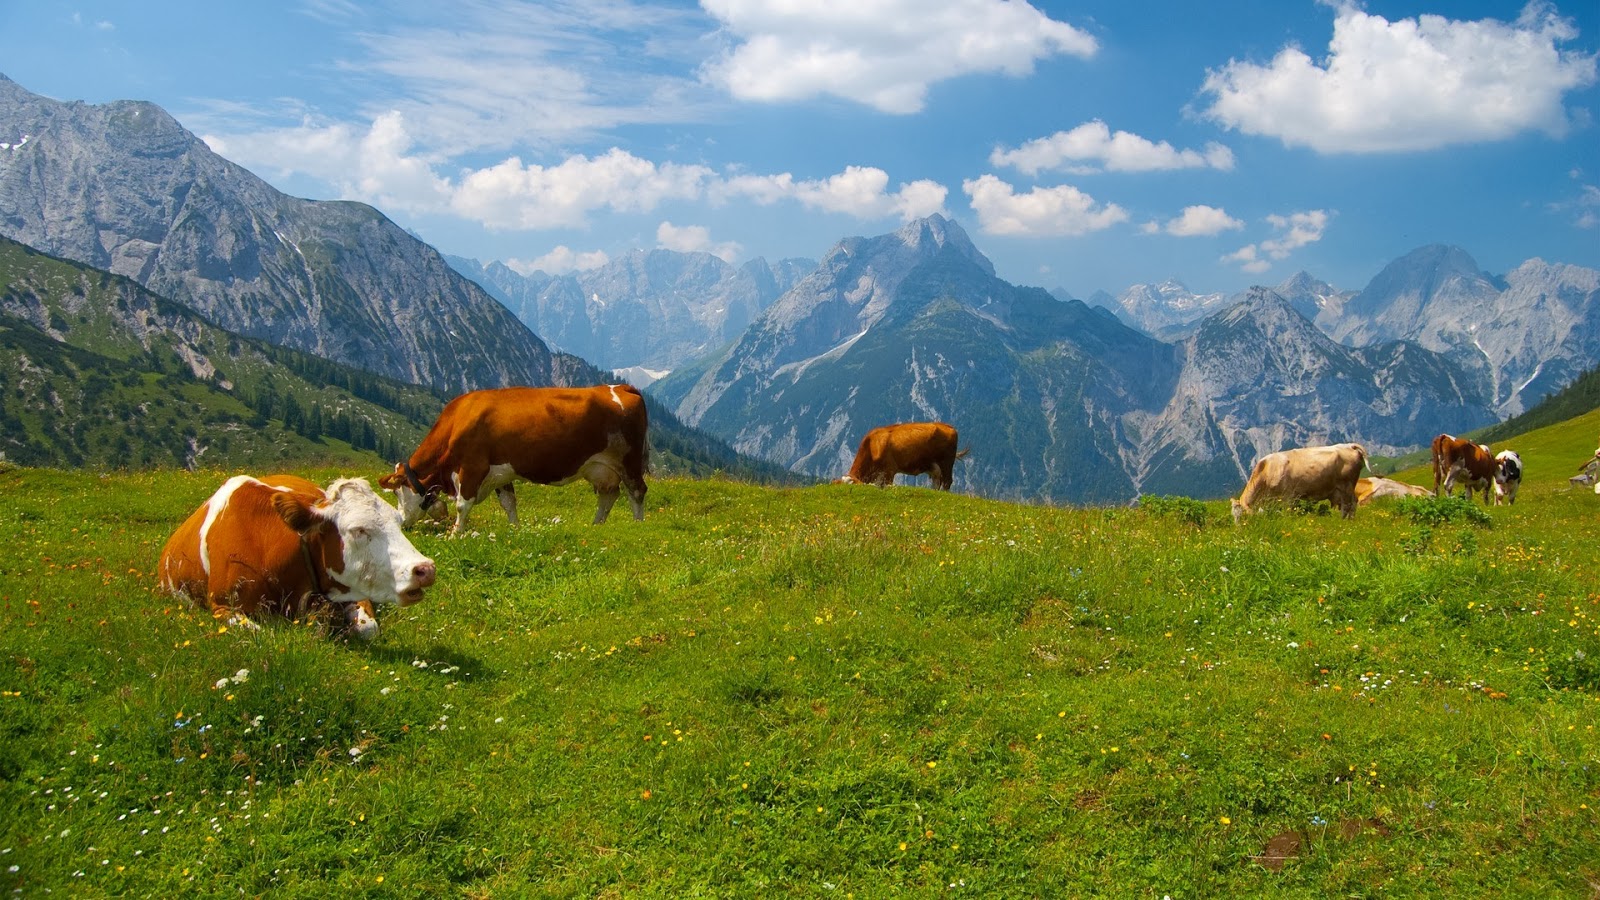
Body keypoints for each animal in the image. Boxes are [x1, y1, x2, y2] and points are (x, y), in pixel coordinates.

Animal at [158, 475, 436, 640]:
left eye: (397, 522)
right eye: (359, 530)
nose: (425, 569)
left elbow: (368, 628)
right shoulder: (222, 607)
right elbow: (261, 634)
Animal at [379, 384, 648, 533]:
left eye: (397, 493)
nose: (401, 522)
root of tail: (621, 387)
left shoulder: (472, 467)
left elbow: (462, 505)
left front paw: (455, 534)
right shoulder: (499, 473)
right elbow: (509, 503)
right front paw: (515, 530)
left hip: (629, 460)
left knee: (636, 491)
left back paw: (638, 526)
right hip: (601, 467)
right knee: (609, 495)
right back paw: (596, 525)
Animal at [835, 422, 969, 490]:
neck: (872, 446)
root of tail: (949, 426)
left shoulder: (889, 471)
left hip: (947, 462)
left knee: (947, 482)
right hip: (934, 466)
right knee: (937, 482)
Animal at [1231, 443, 1368, 524]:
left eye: (1242, 516)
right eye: (1234, 515)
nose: (1239, 530)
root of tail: (1350, 445)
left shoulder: (1288, 496)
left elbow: (1288, 513)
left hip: (1346, 486)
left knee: (1349, 505)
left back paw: (1345, 522)